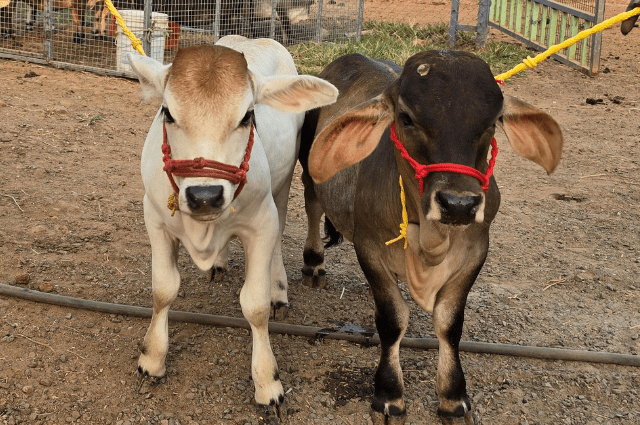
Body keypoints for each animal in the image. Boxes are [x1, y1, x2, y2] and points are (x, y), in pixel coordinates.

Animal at [125, 36, 337, 412]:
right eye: (168, 113)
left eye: (247, 116)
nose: (204, 195)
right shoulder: (155, 220)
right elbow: (163, 290)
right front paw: (152, 358)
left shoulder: (262, 222)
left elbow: (255, 306)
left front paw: (267, 381)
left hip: (283, 187)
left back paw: (278, 287)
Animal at [299, 51, 563, 424]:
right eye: (407, 118)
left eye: (492, 123)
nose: (458, 204)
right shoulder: (369, 248)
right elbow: (392, 320)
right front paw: (388, 395)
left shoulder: (476, 251)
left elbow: (449, 323)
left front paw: (453, 397)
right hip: (310, 175)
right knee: (312, 208)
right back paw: (313, 265)